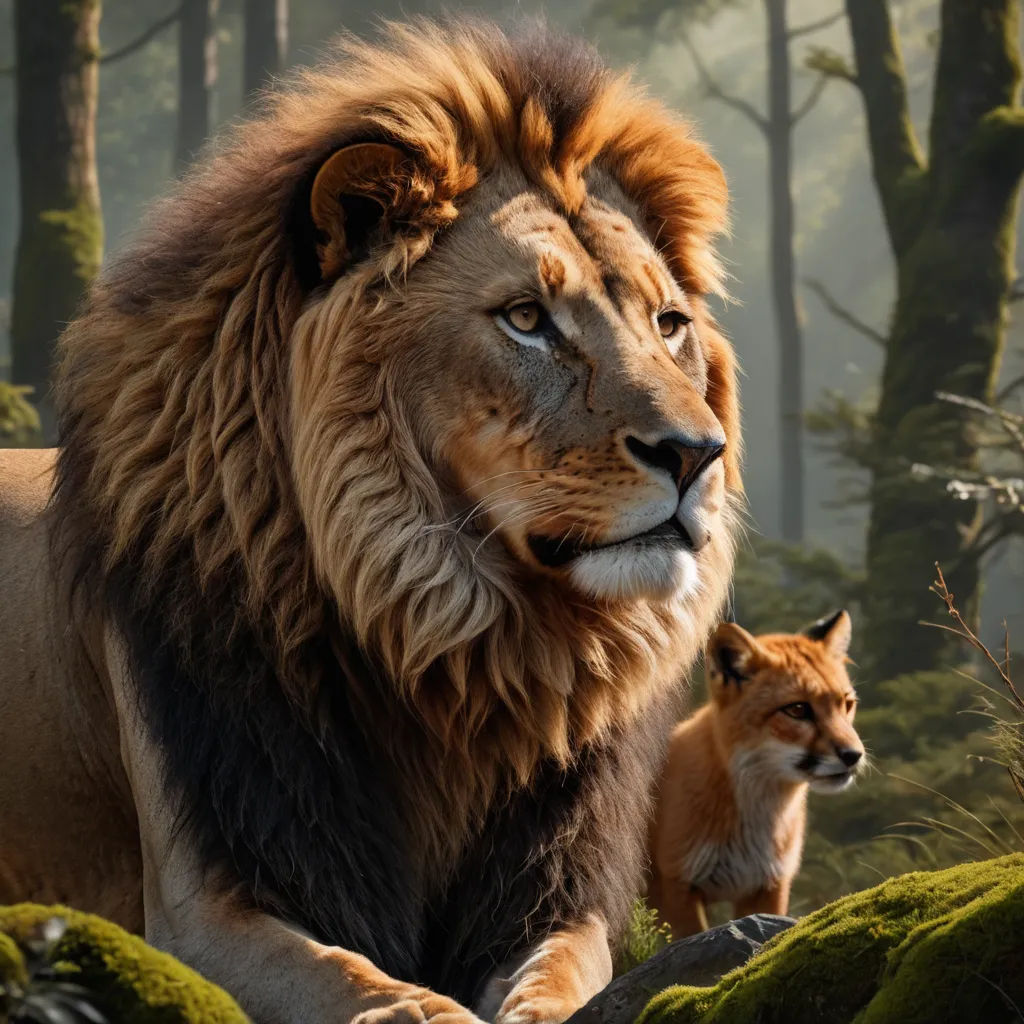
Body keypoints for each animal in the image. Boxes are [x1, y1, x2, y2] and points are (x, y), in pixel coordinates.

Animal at [0, 20, 741, 1024]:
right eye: (526, 318)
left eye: (668, 323)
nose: (697, 454)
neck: (462, 648)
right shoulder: (200, 908)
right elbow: (362, 983)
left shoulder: (556, 894)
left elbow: (554, 982)